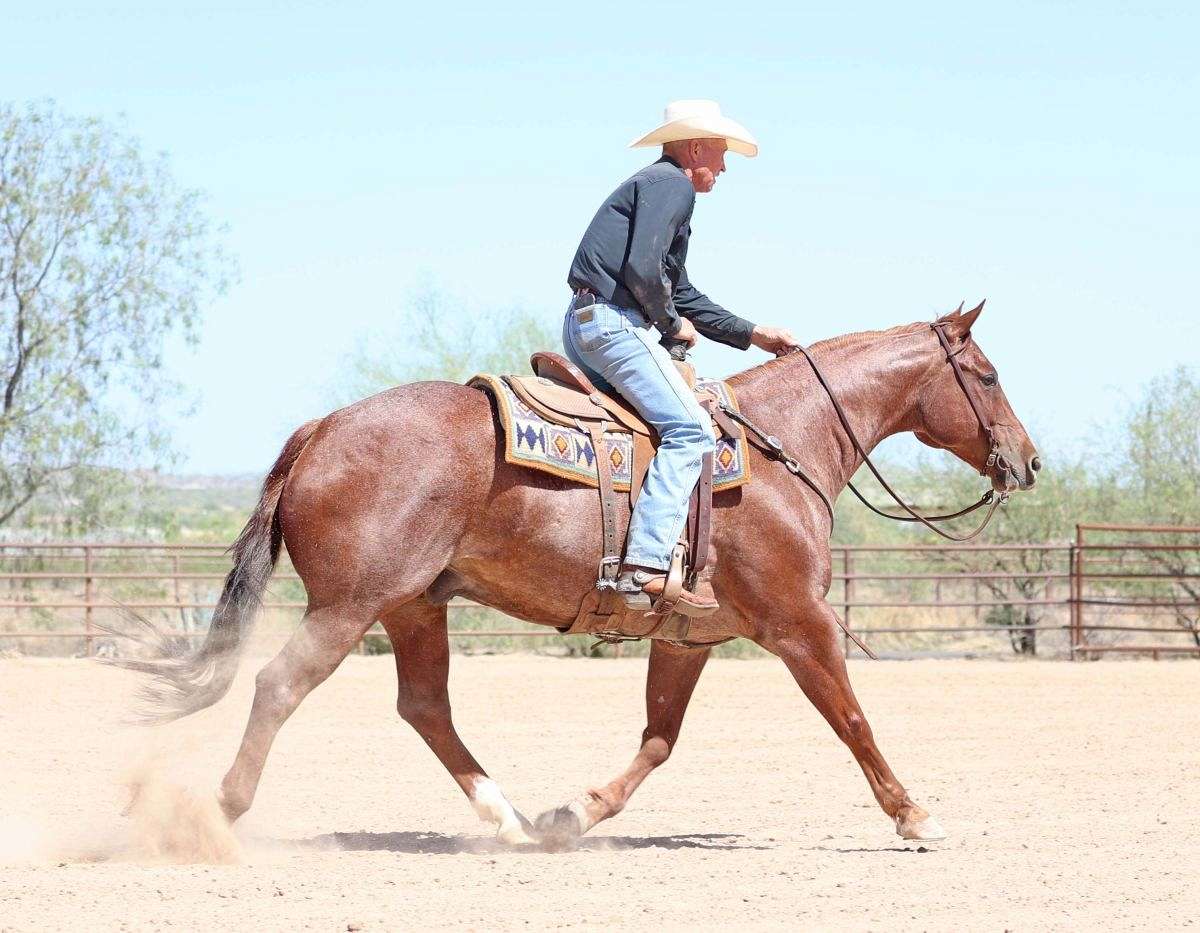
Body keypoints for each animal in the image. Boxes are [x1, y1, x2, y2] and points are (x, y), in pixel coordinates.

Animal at [113, 301, 1038, 847]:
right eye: (988, 374)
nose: (1027, 460)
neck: (784, 446)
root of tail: (325, 427)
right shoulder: (800, 622)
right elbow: (851, 715)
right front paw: (914, 813)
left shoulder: (690, 635)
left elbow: (659, 737)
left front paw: (576, 812)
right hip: (347, 606)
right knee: (279, 684)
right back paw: (220, 812)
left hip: (414, 605)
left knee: (425, 707)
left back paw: (515, 819)